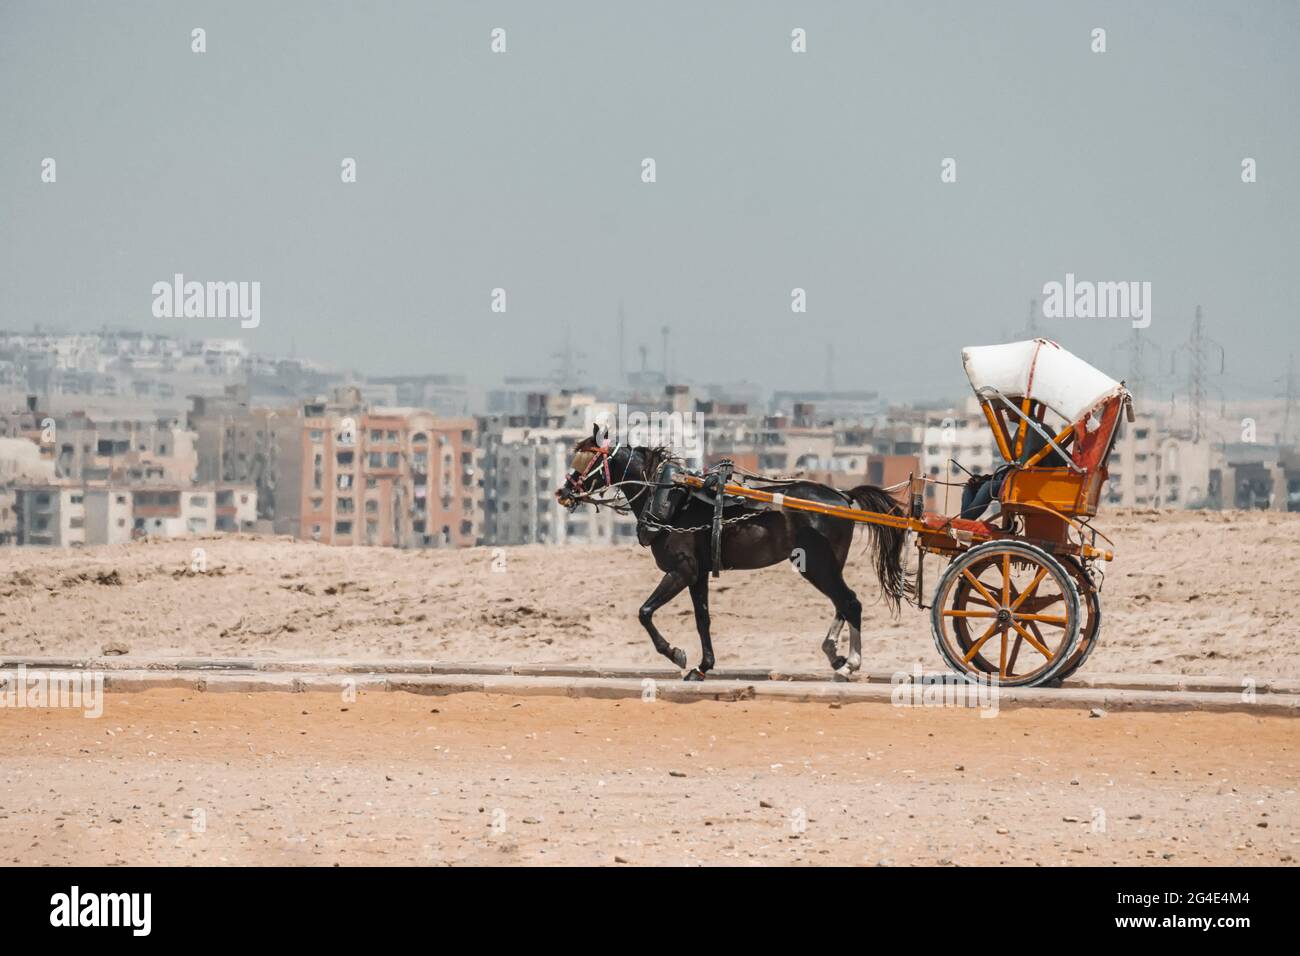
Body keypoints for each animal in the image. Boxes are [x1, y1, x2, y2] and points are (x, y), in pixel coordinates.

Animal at [555, 426, 911, 680]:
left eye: (587, 461)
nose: (562, 492)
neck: (669, 498)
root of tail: (841, 495)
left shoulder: (682, 570)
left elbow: (645, 612)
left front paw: (676, 654)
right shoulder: (697, 574)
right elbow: (702, 619)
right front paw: (702, 666)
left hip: (817, 564)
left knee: (849, 602)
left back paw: (851, 662)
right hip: (825, 565)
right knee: (842, 603)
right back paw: (834, 653)